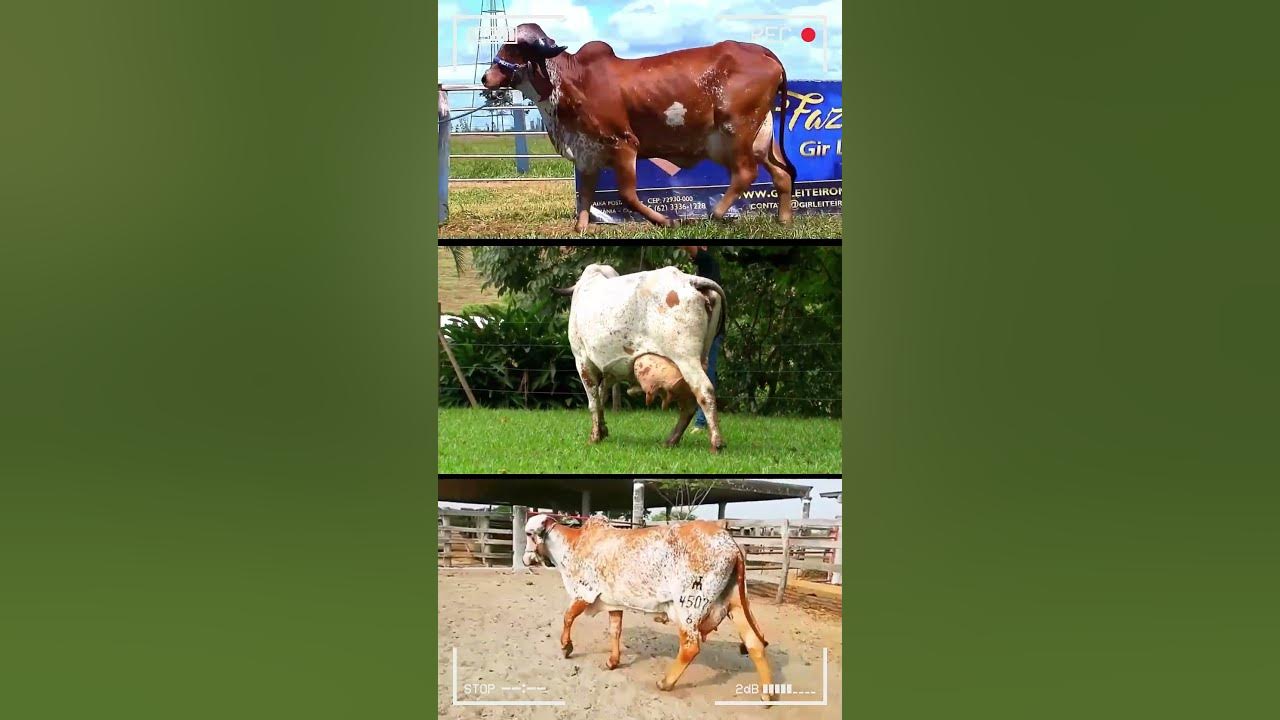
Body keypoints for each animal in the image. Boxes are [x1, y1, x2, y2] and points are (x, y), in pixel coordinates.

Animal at [482, 23, 797, 233]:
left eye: (514, 49)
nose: (486, 77)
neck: (573, 82)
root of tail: (762, 51)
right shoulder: (587, 154)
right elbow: (585, 197)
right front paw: (581, 228)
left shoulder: (623, 144)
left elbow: (627, 195)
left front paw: (665, 220)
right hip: (759, 138)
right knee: (781, 175)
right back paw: (783, 218)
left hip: (736, 130)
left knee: (745, 173)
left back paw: (716, 214)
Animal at [522, 514, 776, 702]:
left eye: (527, 534)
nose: (525, 559)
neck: (574, 545)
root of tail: (731, 544)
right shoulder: (613, 602)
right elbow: (615, 630)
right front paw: (613, 661)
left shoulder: (584, 593)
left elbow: (567, 617)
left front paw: (566, 646)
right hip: (734, 602)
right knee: (754, 643)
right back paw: (767, 695)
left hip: (689, 606)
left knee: (691, 646)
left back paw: (665, 682)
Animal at [554, 263, 726, 452]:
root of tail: (690, 280)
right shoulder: (611, 371)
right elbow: (601, 397)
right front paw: (603, 430)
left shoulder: (582, 361)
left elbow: (593, 402)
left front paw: (595, 436)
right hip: (701, 357)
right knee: (690, 402)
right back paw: (671, 440)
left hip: (686, 358)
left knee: (703, 392)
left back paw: (715, 443)